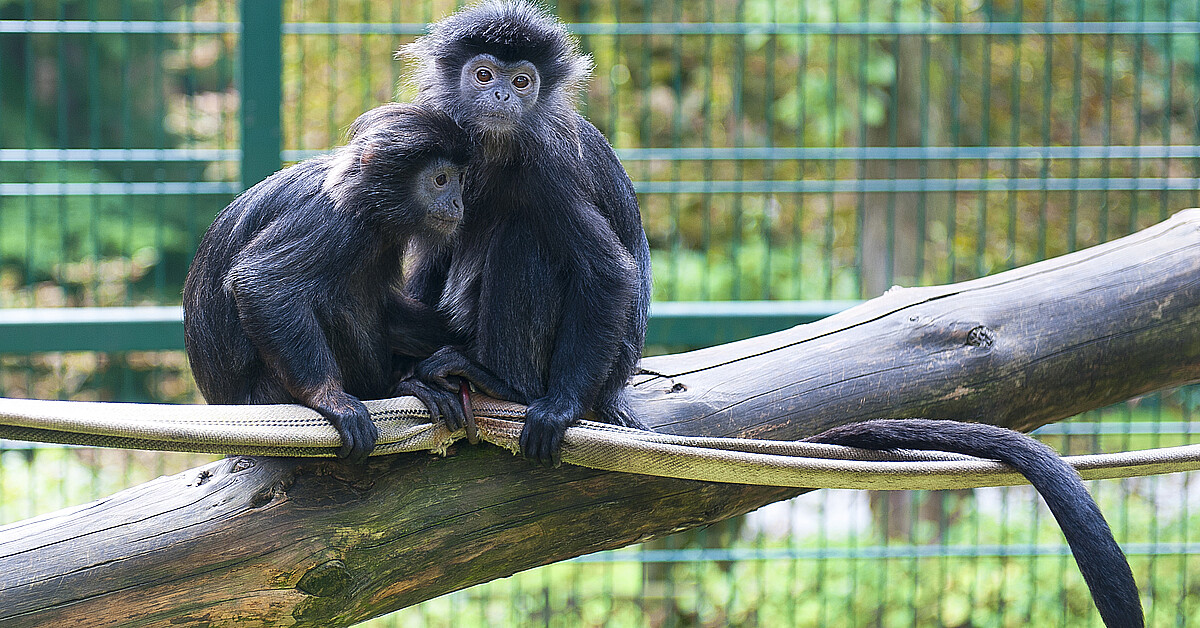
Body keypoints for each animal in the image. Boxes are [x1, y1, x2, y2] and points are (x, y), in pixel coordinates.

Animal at [183, 103, 470, 463]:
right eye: (440, 180)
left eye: (459, 180)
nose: (459, 203)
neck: (363, 197)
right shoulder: (334, 220)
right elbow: (262, 281)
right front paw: (330, 400)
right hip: (268, 395)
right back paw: (394, 389)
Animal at [395, 0, 653, 466]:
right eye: (484, 75)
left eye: (521, 81)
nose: (502, 95)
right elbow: (431, 262)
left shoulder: (550, 170)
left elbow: (607, 271)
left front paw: (560, 408)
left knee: (524, 238)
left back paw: (502, 384)